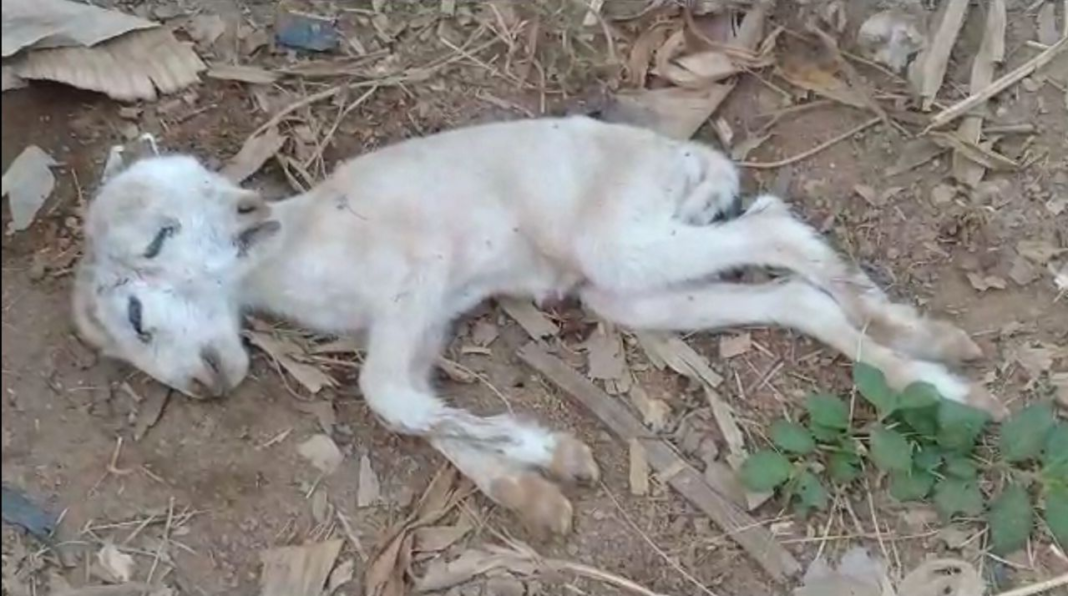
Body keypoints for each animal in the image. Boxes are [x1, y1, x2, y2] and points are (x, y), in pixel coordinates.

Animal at [72, 116, 1000, 536]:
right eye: (130, 332)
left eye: (150, 260)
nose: (207, 382)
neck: (296, 249)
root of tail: (686, 158)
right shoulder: (415, 328)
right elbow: (419, 412)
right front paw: (533, 487)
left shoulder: (418, 279)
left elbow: (385, 399)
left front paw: (556, 454)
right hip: (626, 290)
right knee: (789, 295)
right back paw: (933, 374)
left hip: (624, 243)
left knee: (773, 225)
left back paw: (911, 331)